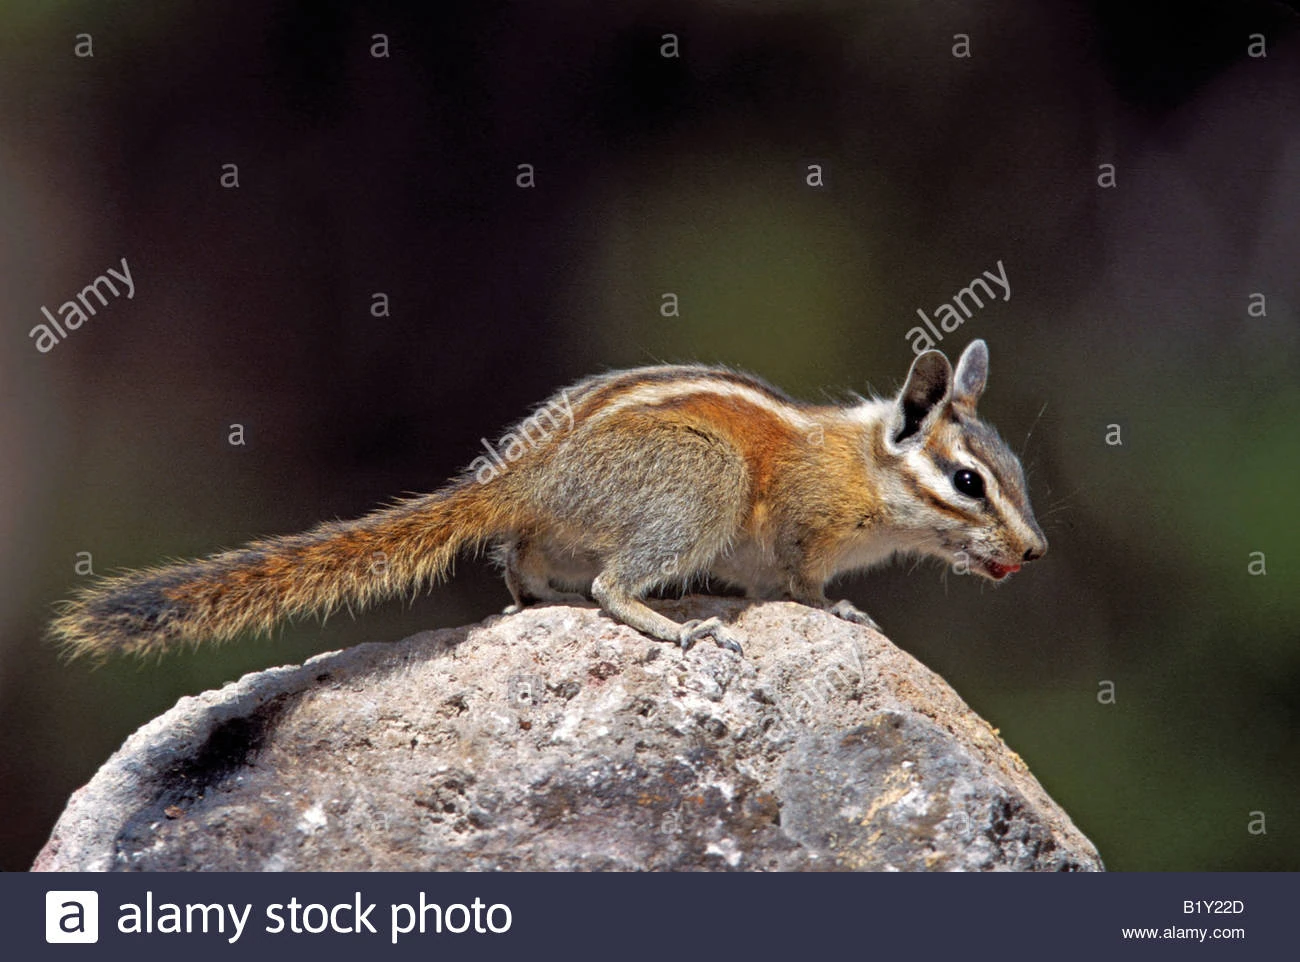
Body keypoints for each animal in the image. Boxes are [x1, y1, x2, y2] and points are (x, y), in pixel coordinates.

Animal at [50, 339, 1047, 660]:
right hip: (704, 480)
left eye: (1016, 476)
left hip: (562, 534)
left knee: (528, 573)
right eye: (968, 482)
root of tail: (517, 479)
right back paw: (669, 626)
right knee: (611, 587)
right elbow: (800, 583)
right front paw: (838, 610)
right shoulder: (802, 525)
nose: (1036, 552)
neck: (864, 469)